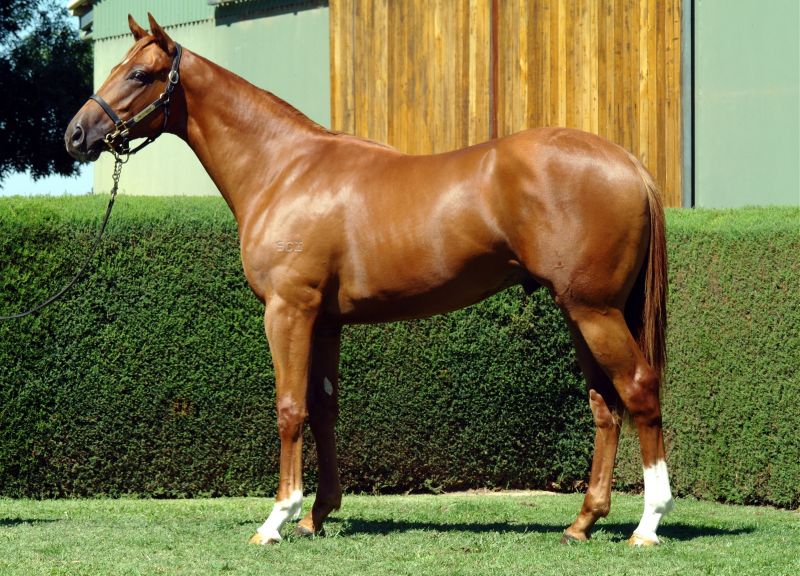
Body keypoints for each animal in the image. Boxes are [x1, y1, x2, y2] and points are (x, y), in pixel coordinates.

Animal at [65, 14, 674, 547]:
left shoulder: (288, 310)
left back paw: (648, 525)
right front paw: (316, 516)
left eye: (139, 75)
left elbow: (290, 408)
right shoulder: (326, 321)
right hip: (581, 311)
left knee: (639, 389)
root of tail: (627, 163)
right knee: (605, 404)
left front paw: (276, 519)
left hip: (594, 311)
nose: (75, 134)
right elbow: (323, 410)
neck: (284, 169)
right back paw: (582, 523)